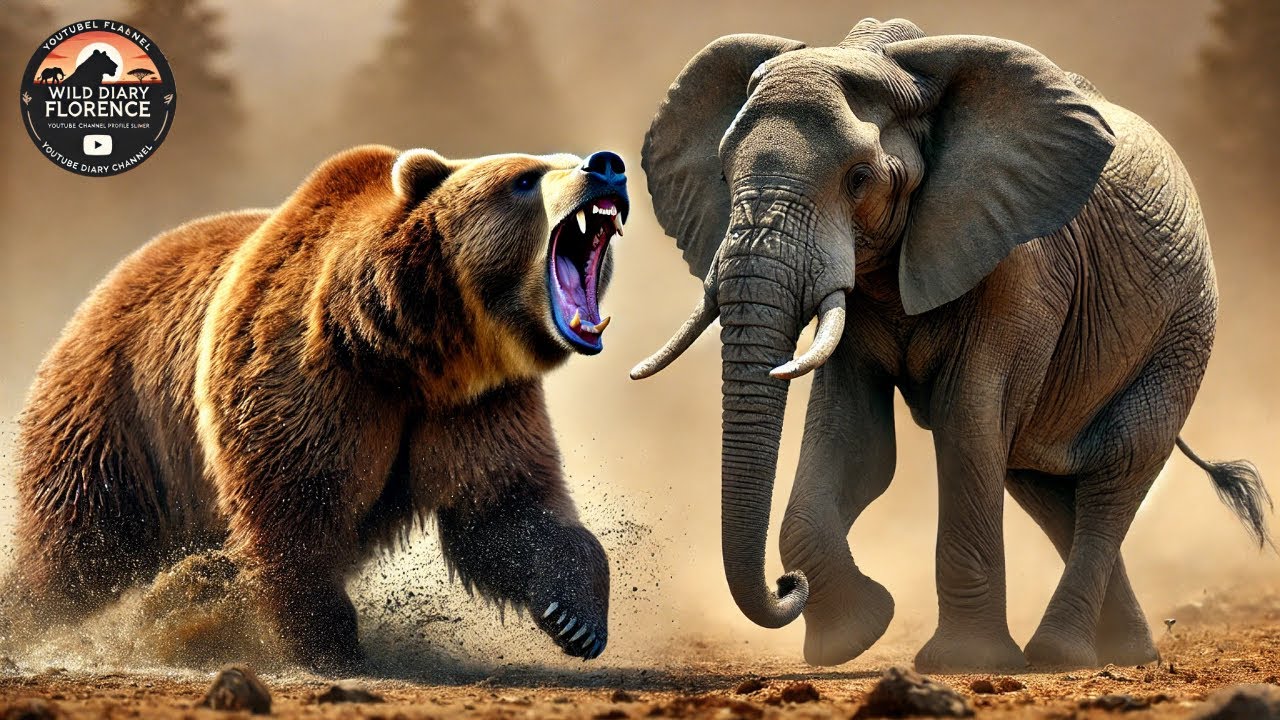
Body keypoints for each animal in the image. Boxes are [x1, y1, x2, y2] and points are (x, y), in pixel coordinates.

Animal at [9, 144, 629, 671]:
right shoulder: (309, 371)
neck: (406, 347)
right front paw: (327, 641)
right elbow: (295, 504)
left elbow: (505, 506)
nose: (607, 166)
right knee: (83, 540)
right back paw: (46, 622)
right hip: (118, 412)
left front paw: (576, 619)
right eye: (525, 177)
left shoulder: (479, 402)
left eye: (567, 157)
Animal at [632, 18, 1273, 672]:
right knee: (1040, 484)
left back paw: (1060, 656)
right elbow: (855, 439)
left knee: (1118, 468)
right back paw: (1126, 654)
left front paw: (965, 662)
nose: (787, 585)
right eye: (724, 174)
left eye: (858, 179)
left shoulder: (1020, 267)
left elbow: (965, 421)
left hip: (1183, 330)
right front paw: (852, 638)